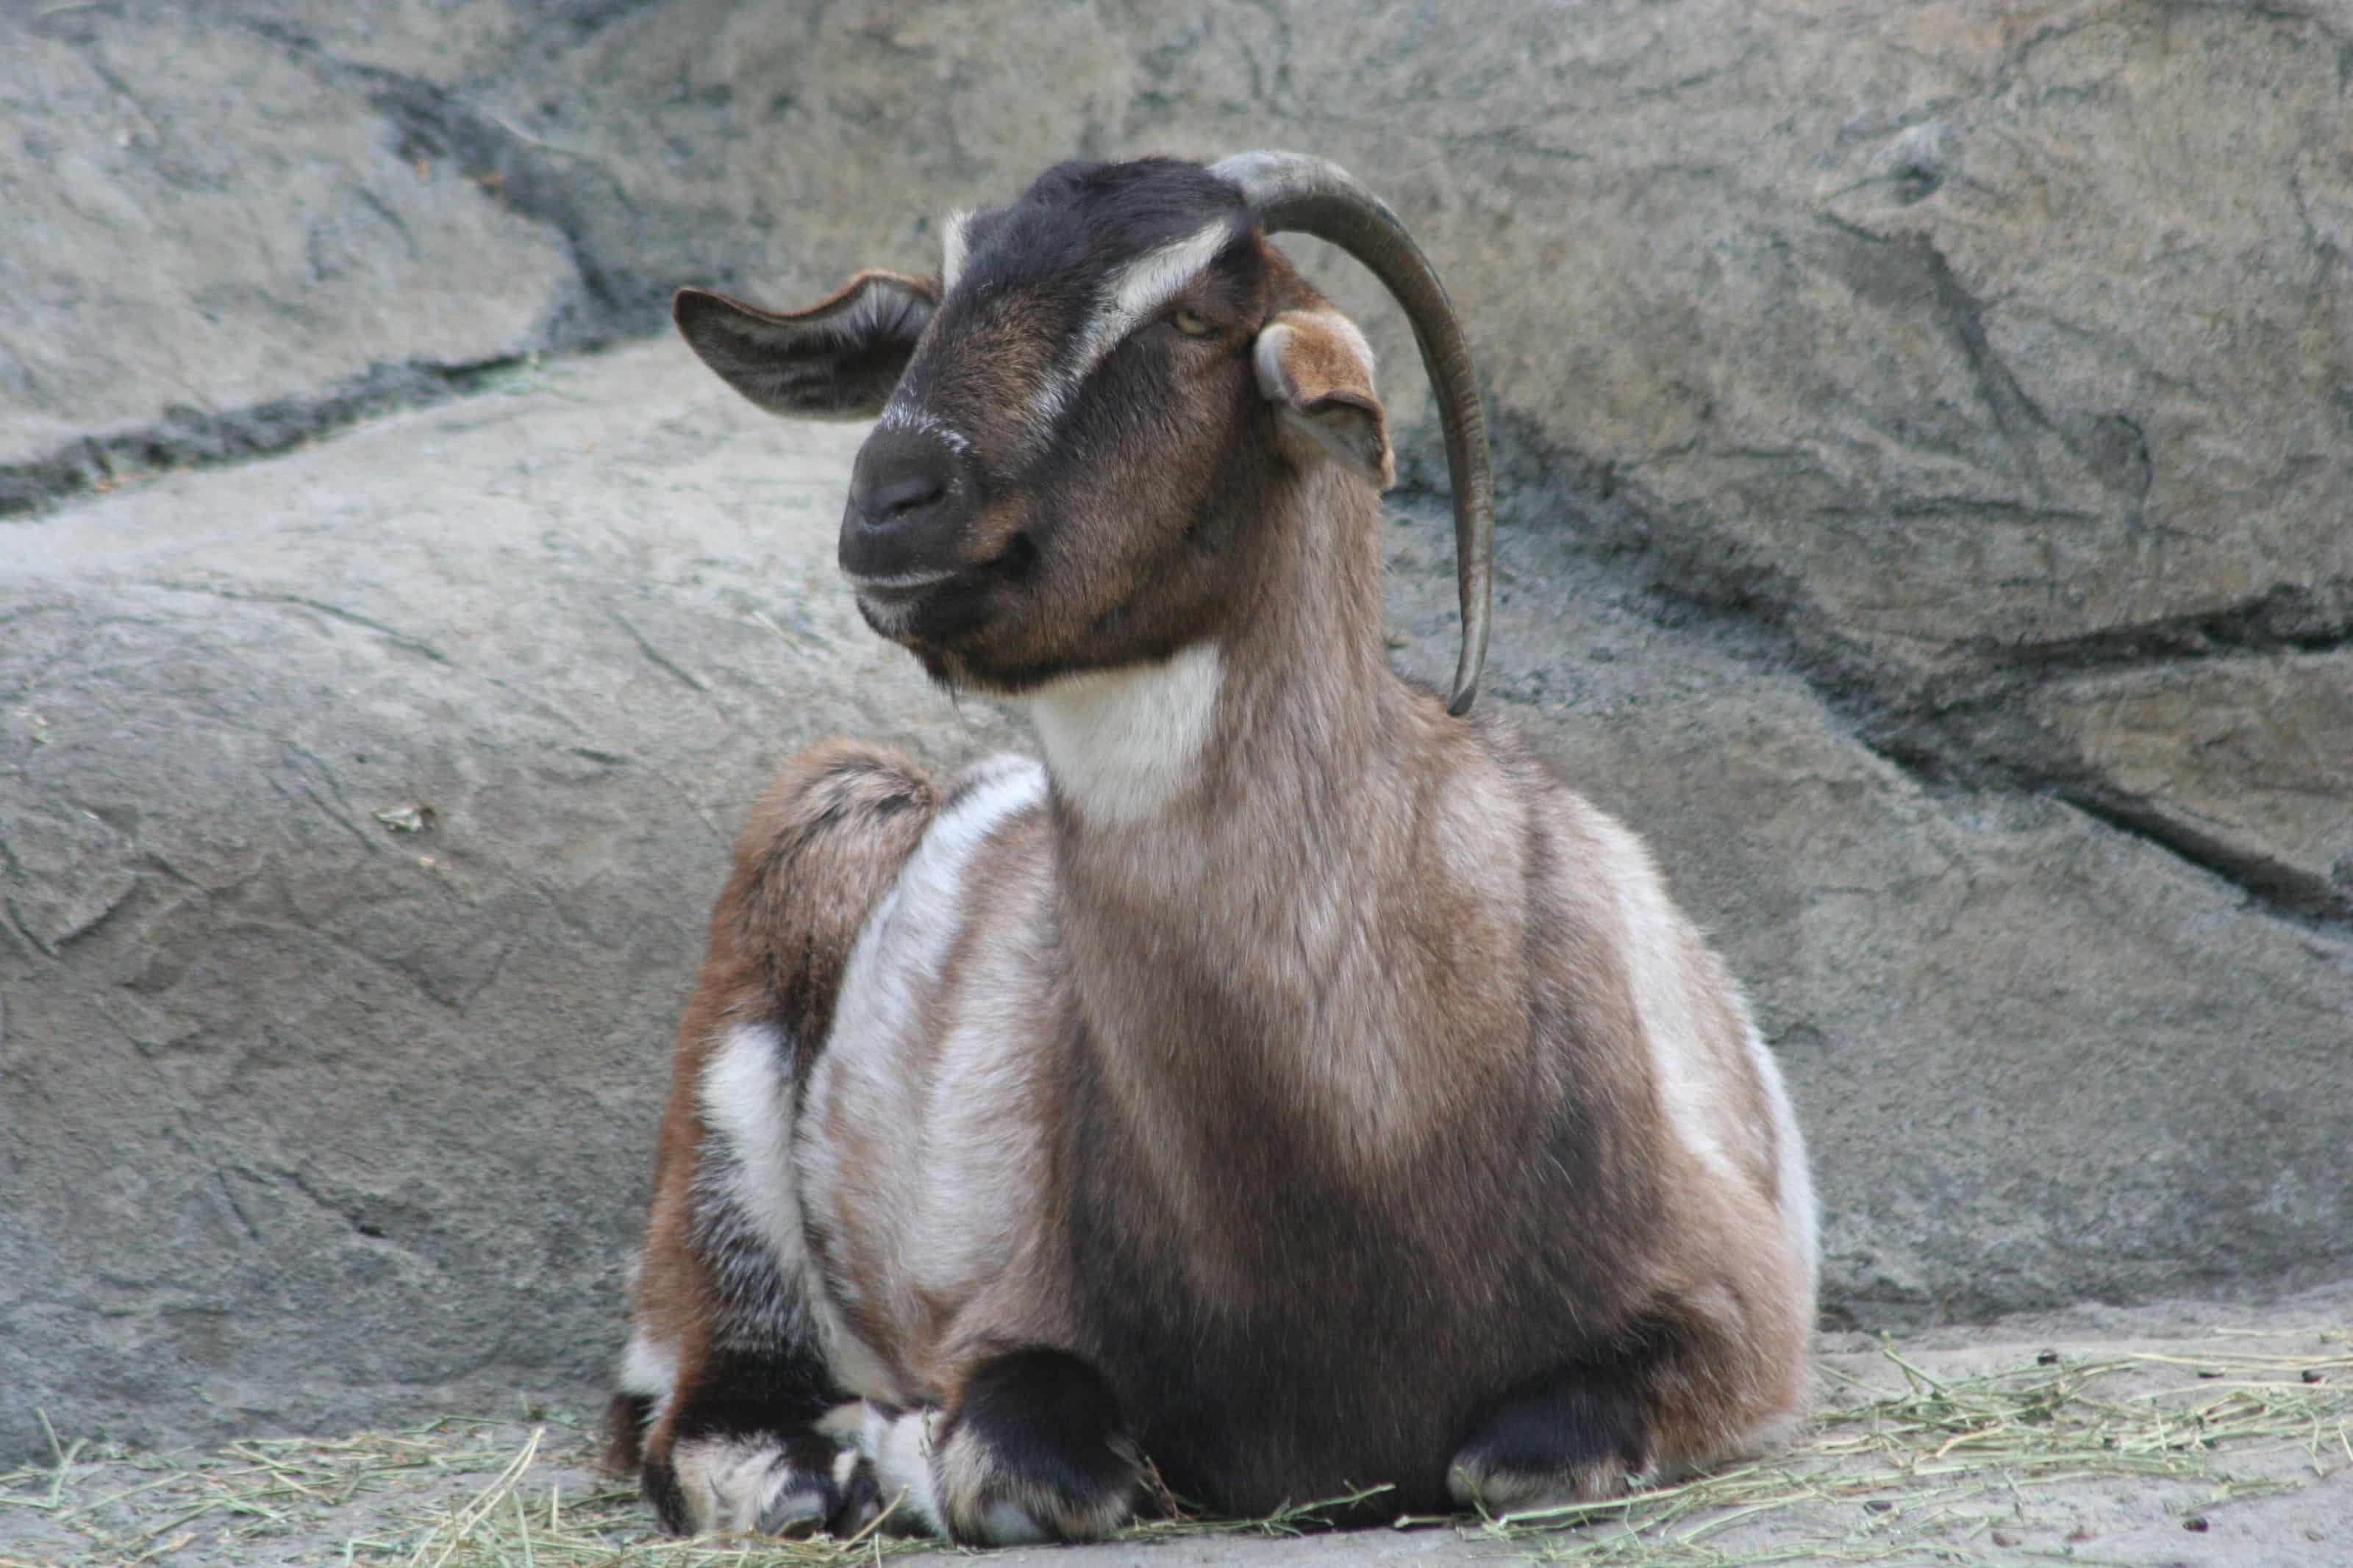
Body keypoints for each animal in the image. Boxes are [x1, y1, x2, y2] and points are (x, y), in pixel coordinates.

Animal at [607, 151, 1819, 1543]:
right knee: (688, 1399)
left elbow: (1518, 1453)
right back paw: (813, 1460)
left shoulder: (1747, 1313)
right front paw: (907, 1440)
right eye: (939, 308)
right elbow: (1023, 1465)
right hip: (760, 1004)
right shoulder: (1010, 1305)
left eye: (1191, 317)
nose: (890, 503)